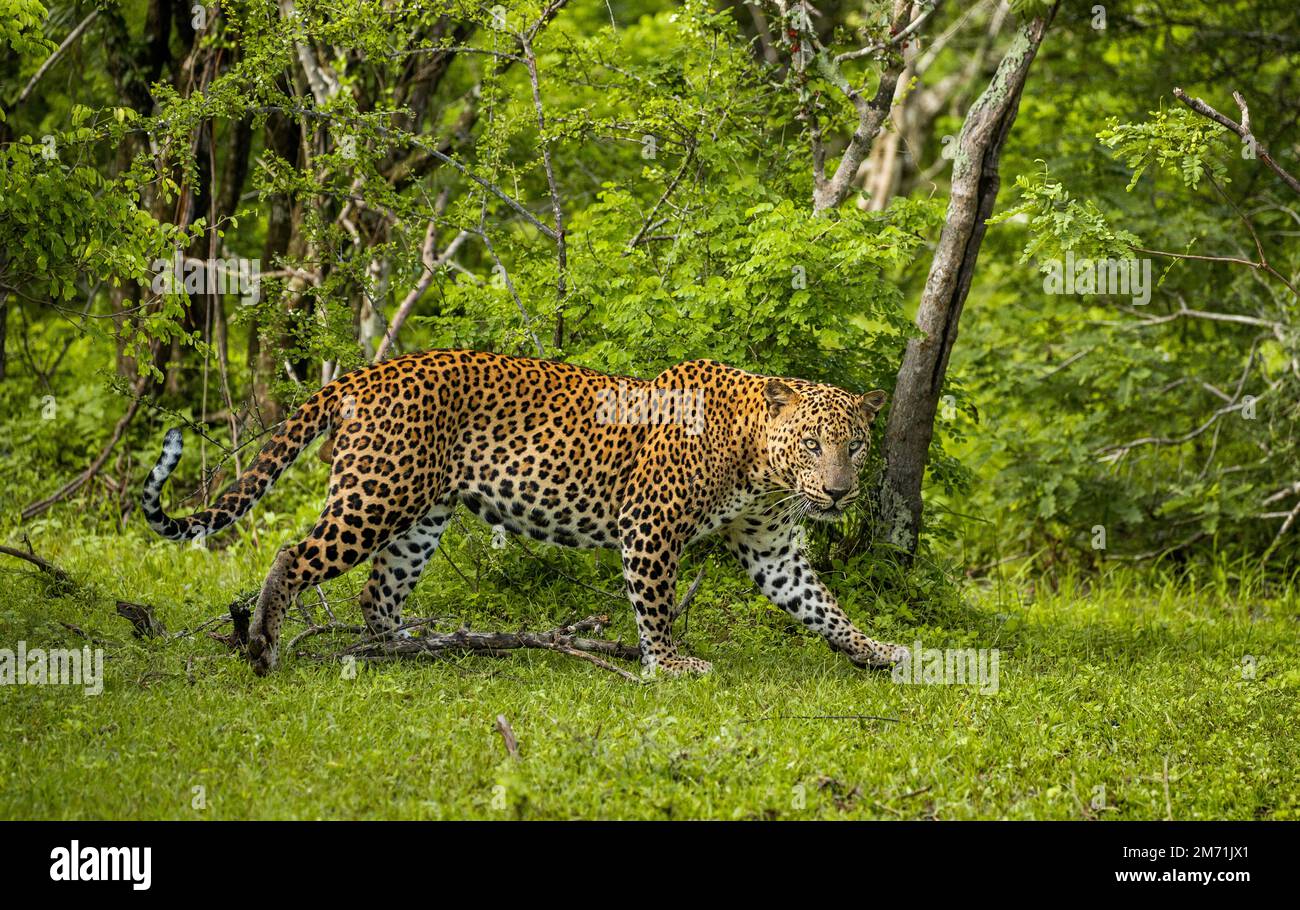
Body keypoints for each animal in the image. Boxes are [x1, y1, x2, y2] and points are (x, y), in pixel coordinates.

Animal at [142, 349, 910, 676]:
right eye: (811, 445)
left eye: (854, 445)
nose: (838, 492)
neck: (759, 466)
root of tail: (369, 370)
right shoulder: (651, 525)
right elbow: (656, 606)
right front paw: (668, 664)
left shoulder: (772, 547)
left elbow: (823, 608)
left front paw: (879, 652)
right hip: (377, 495)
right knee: (293, 554)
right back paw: (263, 645)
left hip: (423, 515)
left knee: (377, 591)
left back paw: (408, 646)